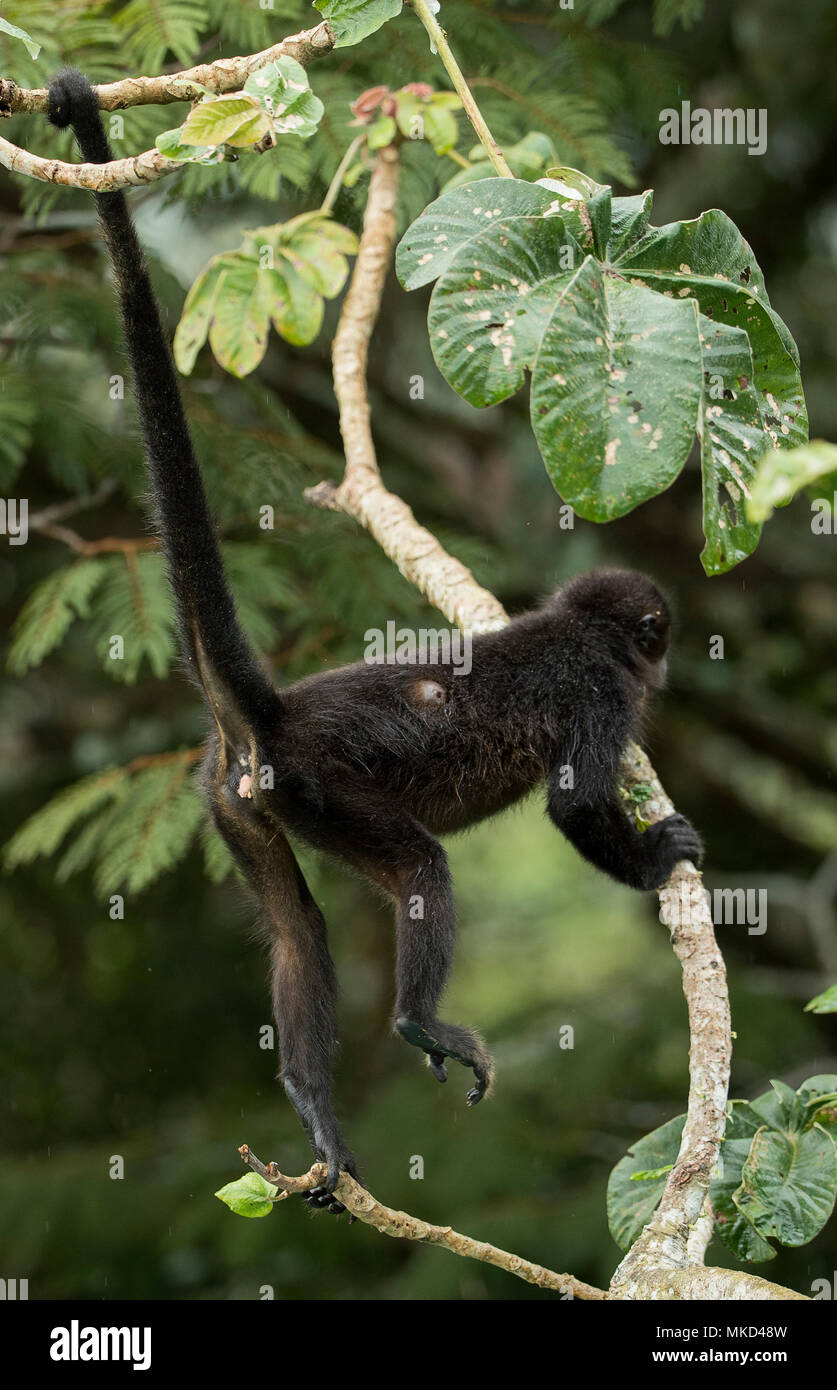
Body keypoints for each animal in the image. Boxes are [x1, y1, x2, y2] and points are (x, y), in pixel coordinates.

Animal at [45, 69, 703, 1215]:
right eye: (651, 644)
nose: (670, 653)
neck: (572, 625)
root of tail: (267, 720)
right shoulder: (604, 688)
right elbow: (575, 805)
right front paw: (652, 854)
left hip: (238, 803)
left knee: (296, 930)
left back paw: (314, 1107)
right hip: (325, 788)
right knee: (421, 870)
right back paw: (415, 1021)